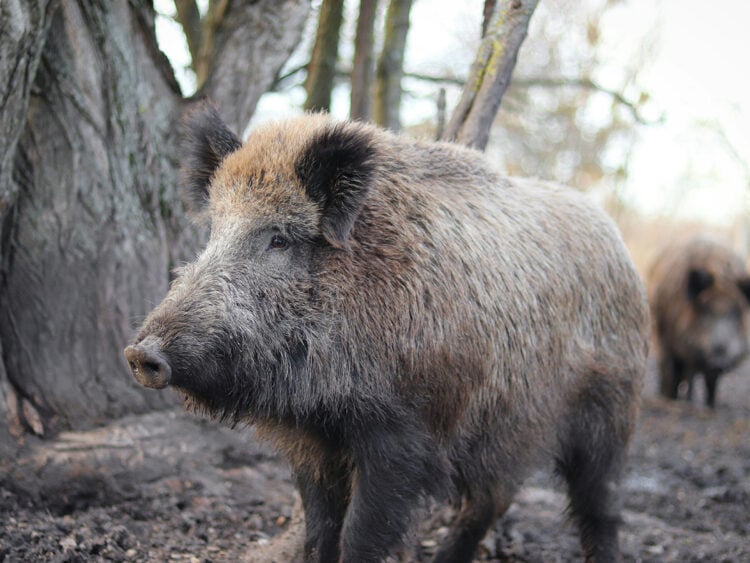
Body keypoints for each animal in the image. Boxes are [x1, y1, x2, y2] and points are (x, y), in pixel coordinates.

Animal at [124, 102, 650, 562]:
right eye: (214, 231)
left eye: (279, 238)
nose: (140, 354)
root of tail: (620, 245)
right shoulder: (312, 442)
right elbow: (319, 532)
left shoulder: (403, 434)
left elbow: (361, 535)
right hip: (509, 426)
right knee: (491, 500)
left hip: (610, 410)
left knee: (600, 508)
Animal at [648, 236, 750, 408]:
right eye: (705, 311)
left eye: (736, 314)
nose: (718, 361)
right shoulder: (674, 341)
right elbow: (678, 371)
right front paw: (680, 400)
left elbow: (710, 382)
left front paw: (710, 406)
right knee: (669, 369)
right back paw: (668, 396)